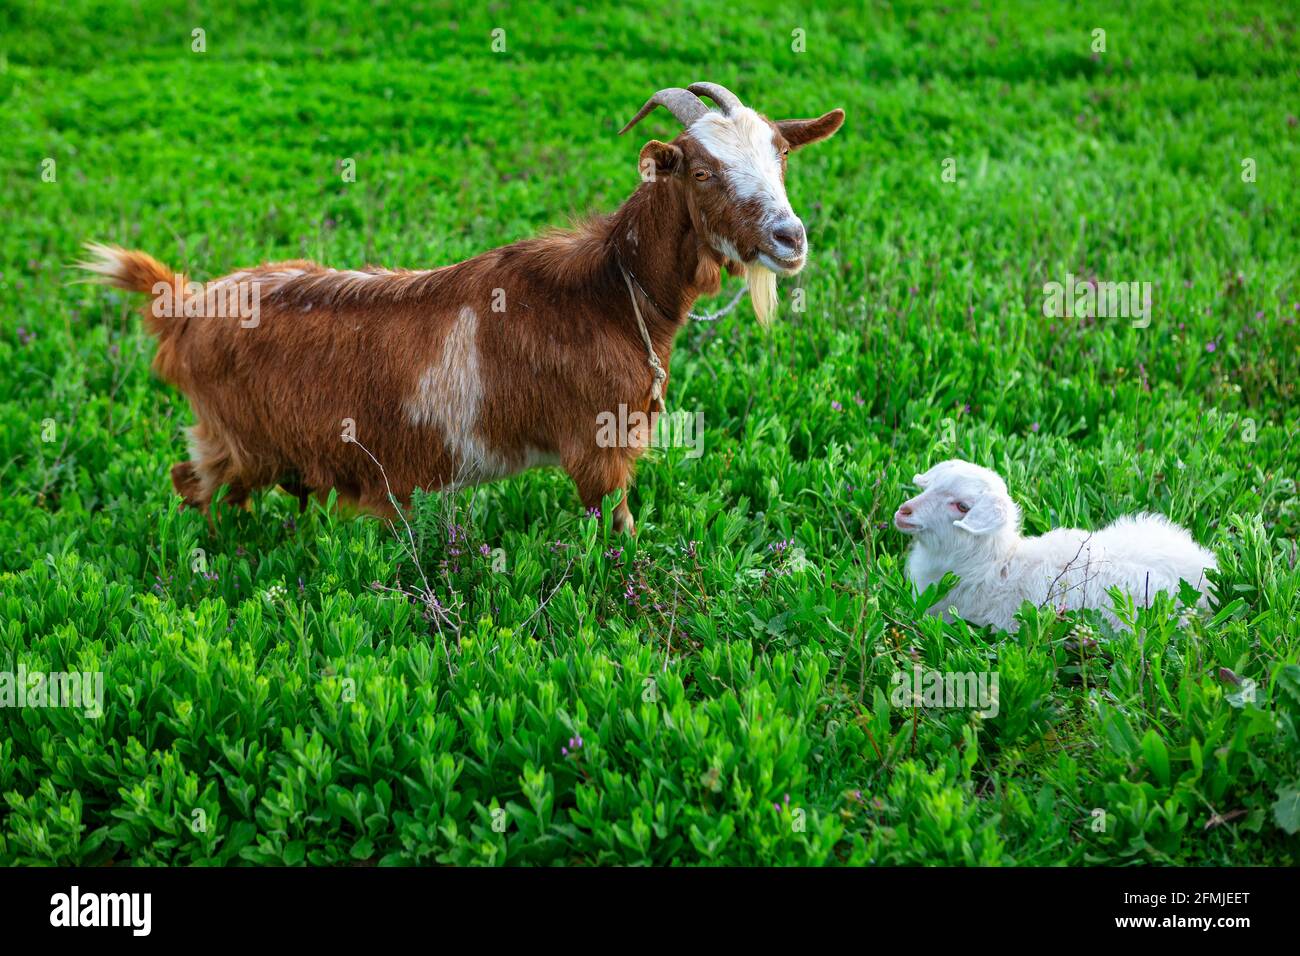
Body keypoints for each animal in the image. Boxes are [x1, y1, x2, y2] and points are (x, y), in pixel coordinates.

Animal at [78, 83, 844, 533]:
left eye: (781, 156)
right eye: (704, 170)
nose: (791, 238)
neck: (611, 290)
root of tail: (182, 304)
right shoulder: (598, 447)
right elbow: (617, 530)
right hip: (233, 437)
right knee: (194, 486)